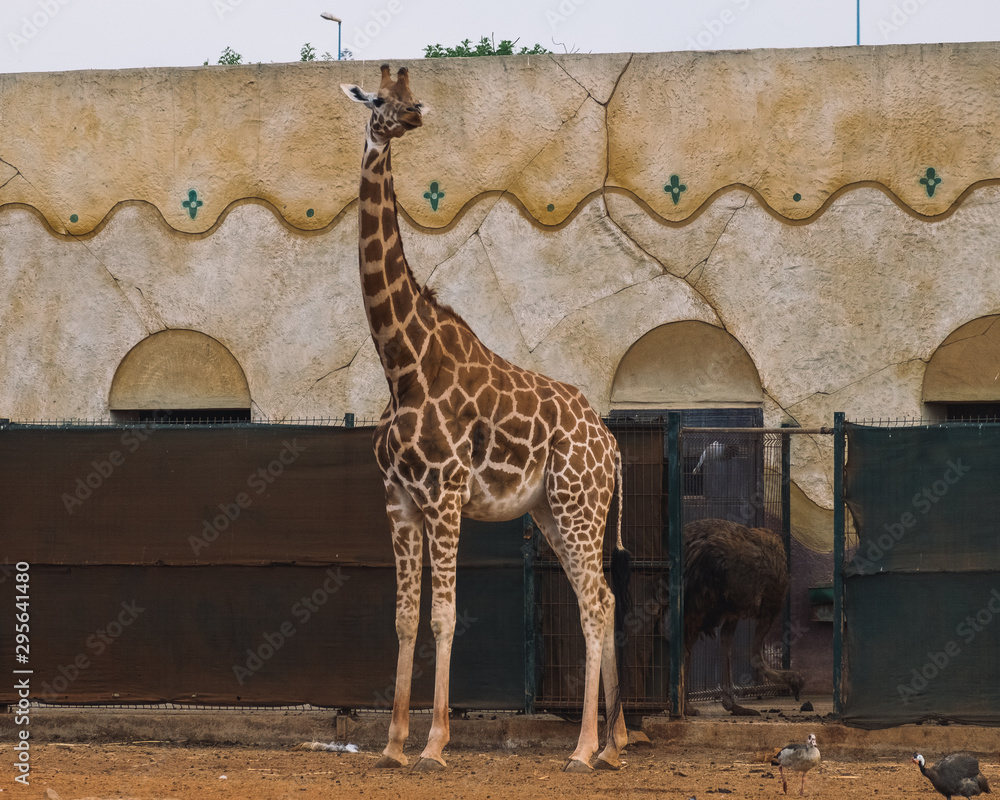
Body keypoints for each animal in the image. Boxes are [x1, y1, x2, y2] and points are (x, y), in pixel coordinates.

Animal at [341, 65, 631, 773]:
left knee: (594, 604)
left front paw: (435, 743)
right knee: (603, 600)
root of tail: (612, 446)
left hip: (578, 507)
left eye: (408, 95)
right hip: (553, 511)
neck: (402, 364)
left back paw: (585, 748)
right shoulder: (398, 499)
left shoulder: (444, 494)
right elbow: (405, 618)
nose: (413, 116)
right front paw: (392, 743)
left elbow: (444, 616)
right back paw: (614, 744)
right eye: (378, 99)